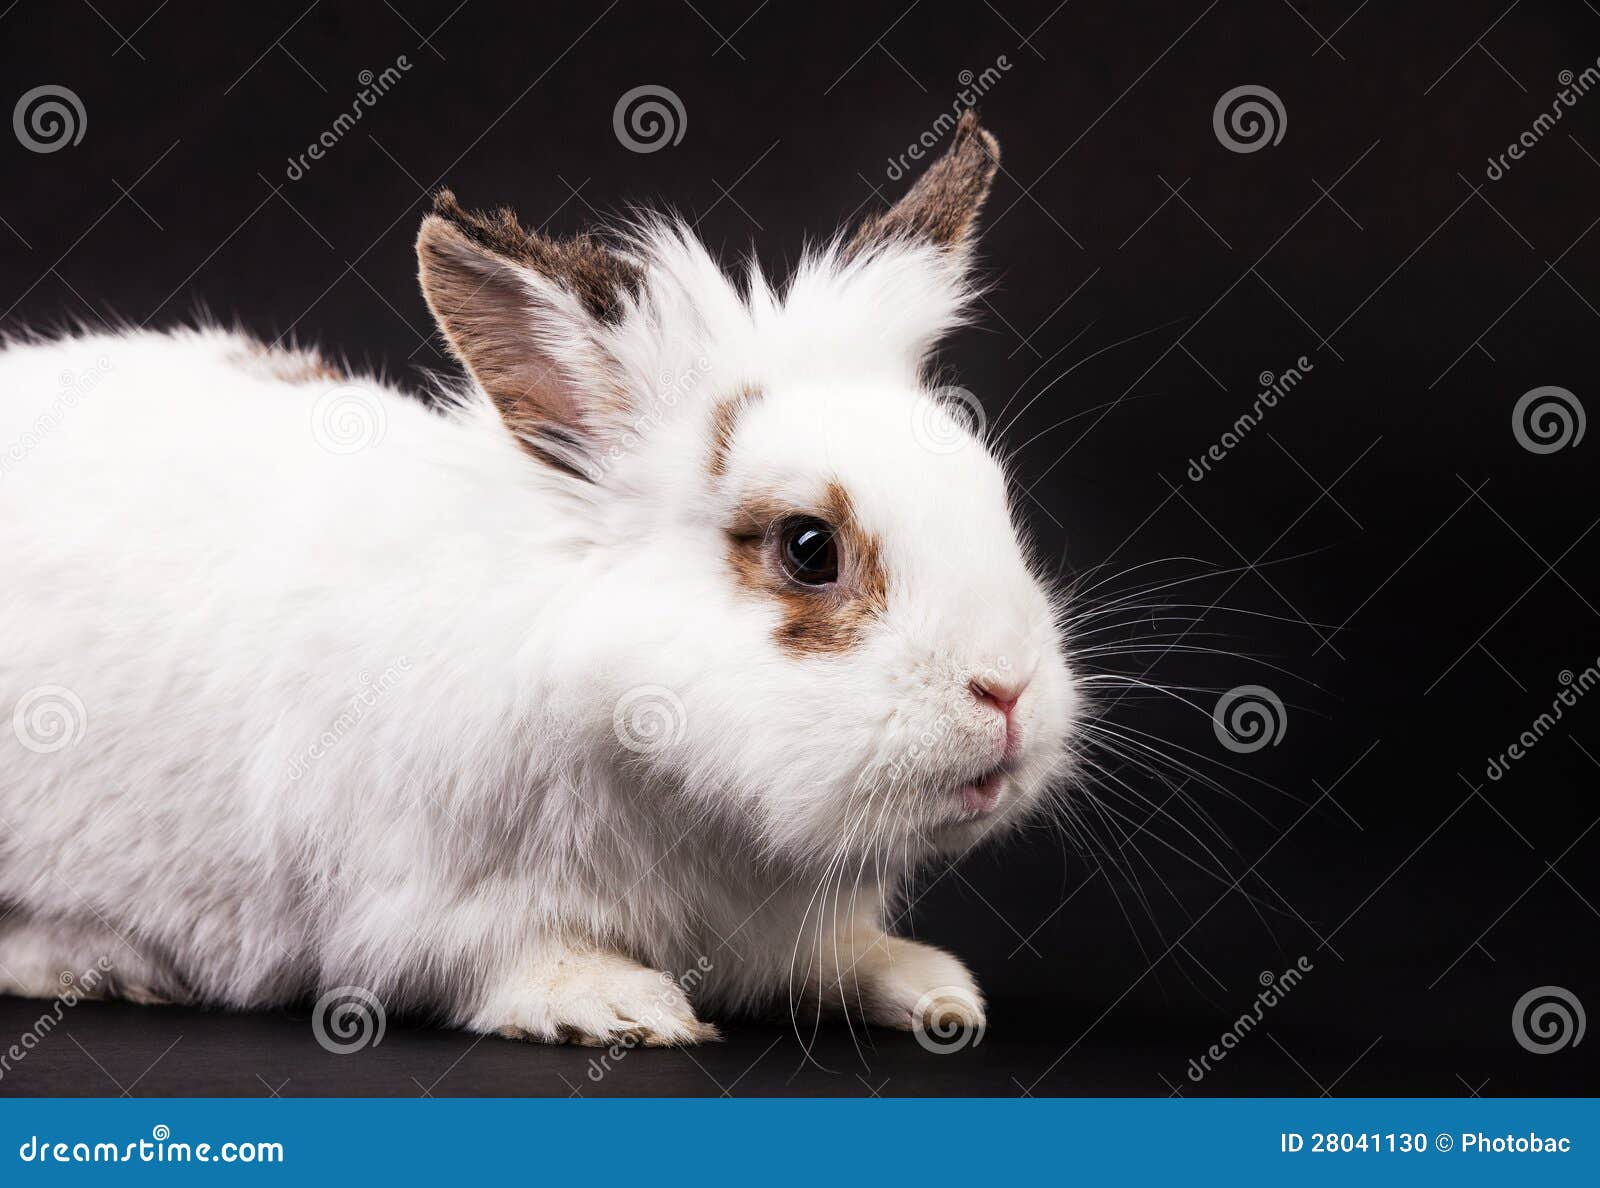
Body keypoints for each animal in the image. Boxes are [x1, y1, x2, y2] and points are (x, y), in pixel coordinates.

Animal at [0, 112, 1078, 1047]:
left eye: (988, 490)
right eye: (809, 548)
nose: (1008, 691)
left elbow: (833, 958)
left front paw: (931, 989)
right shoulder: (420, 905)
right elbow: (508, 959)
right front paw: (626, 1007)